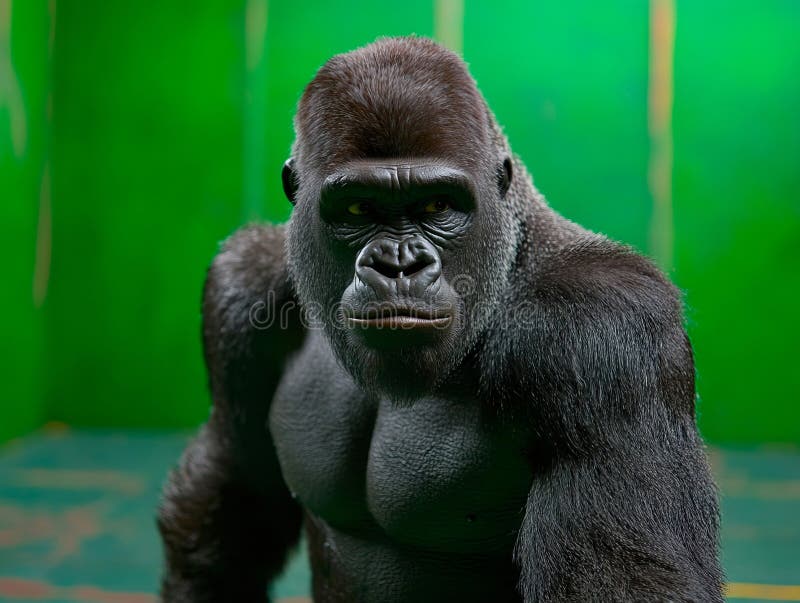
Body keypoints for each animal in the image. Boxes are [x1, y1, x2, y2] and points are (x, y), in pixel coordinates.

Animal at [158, 36, 723, 602]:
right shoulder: (242, 286)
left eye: (436, 205)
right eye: (358, 208)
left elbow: (630, 582)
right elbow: (235, 479)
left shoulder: (603, 324)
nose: (398, 264)